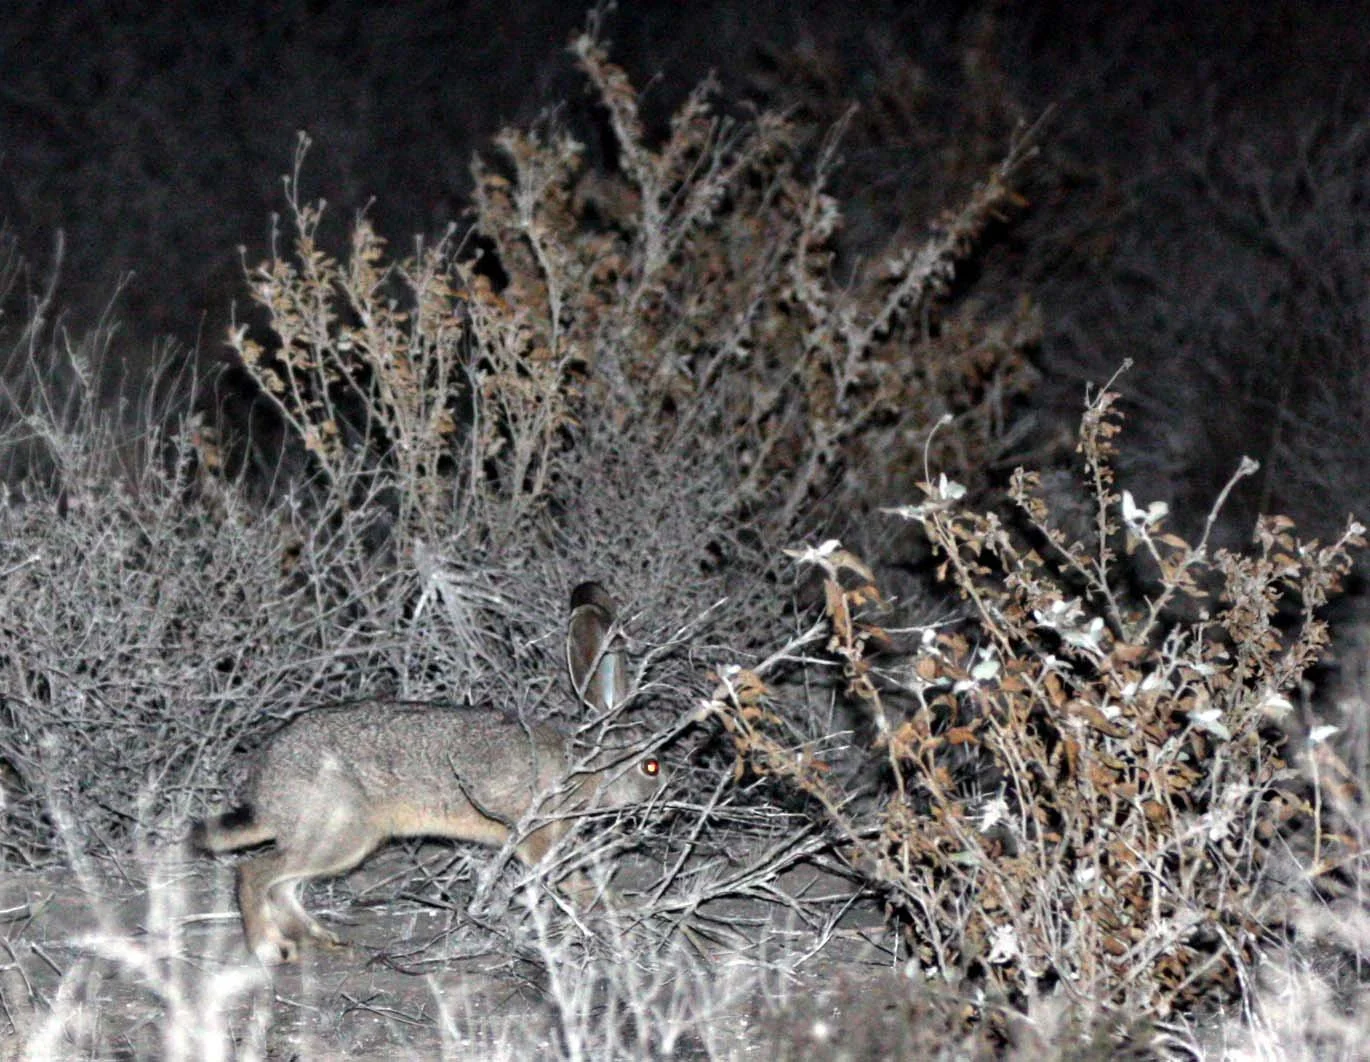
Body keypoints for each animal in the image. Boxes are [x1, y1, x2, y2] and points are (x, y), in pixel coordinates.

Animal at [191, 581, 664, 963]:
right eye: (651, 765)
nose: (662, 802)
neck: (588, 768)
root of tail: (264, 796)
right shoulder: (540, 839)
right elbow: (575, 880)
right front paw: (617, 907)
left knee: (283, 884)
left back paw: (321, 938)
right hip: (343, 833)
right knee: (254, 873)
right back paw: (269, 948)